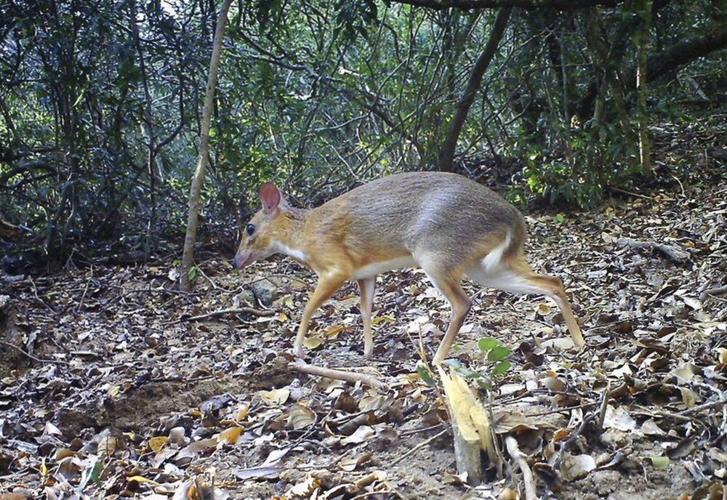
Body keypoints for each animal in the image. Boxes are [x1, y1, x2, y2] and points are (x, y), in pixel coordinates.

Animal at [233, 172, 585, 365]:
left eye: (249, 228)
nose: (236, 261)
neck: (304, 235)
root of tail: (513, 218)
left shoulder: (335, 266)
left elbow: (308, 306)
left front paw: (297, 349)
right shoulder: (365, 273)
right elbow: (365, 309)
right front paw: (367, 351)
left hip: (436, 252)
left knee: (463, 303)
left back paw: (437, 359)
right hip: (486, 267)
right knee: (552, 282)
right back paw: (580, 343)